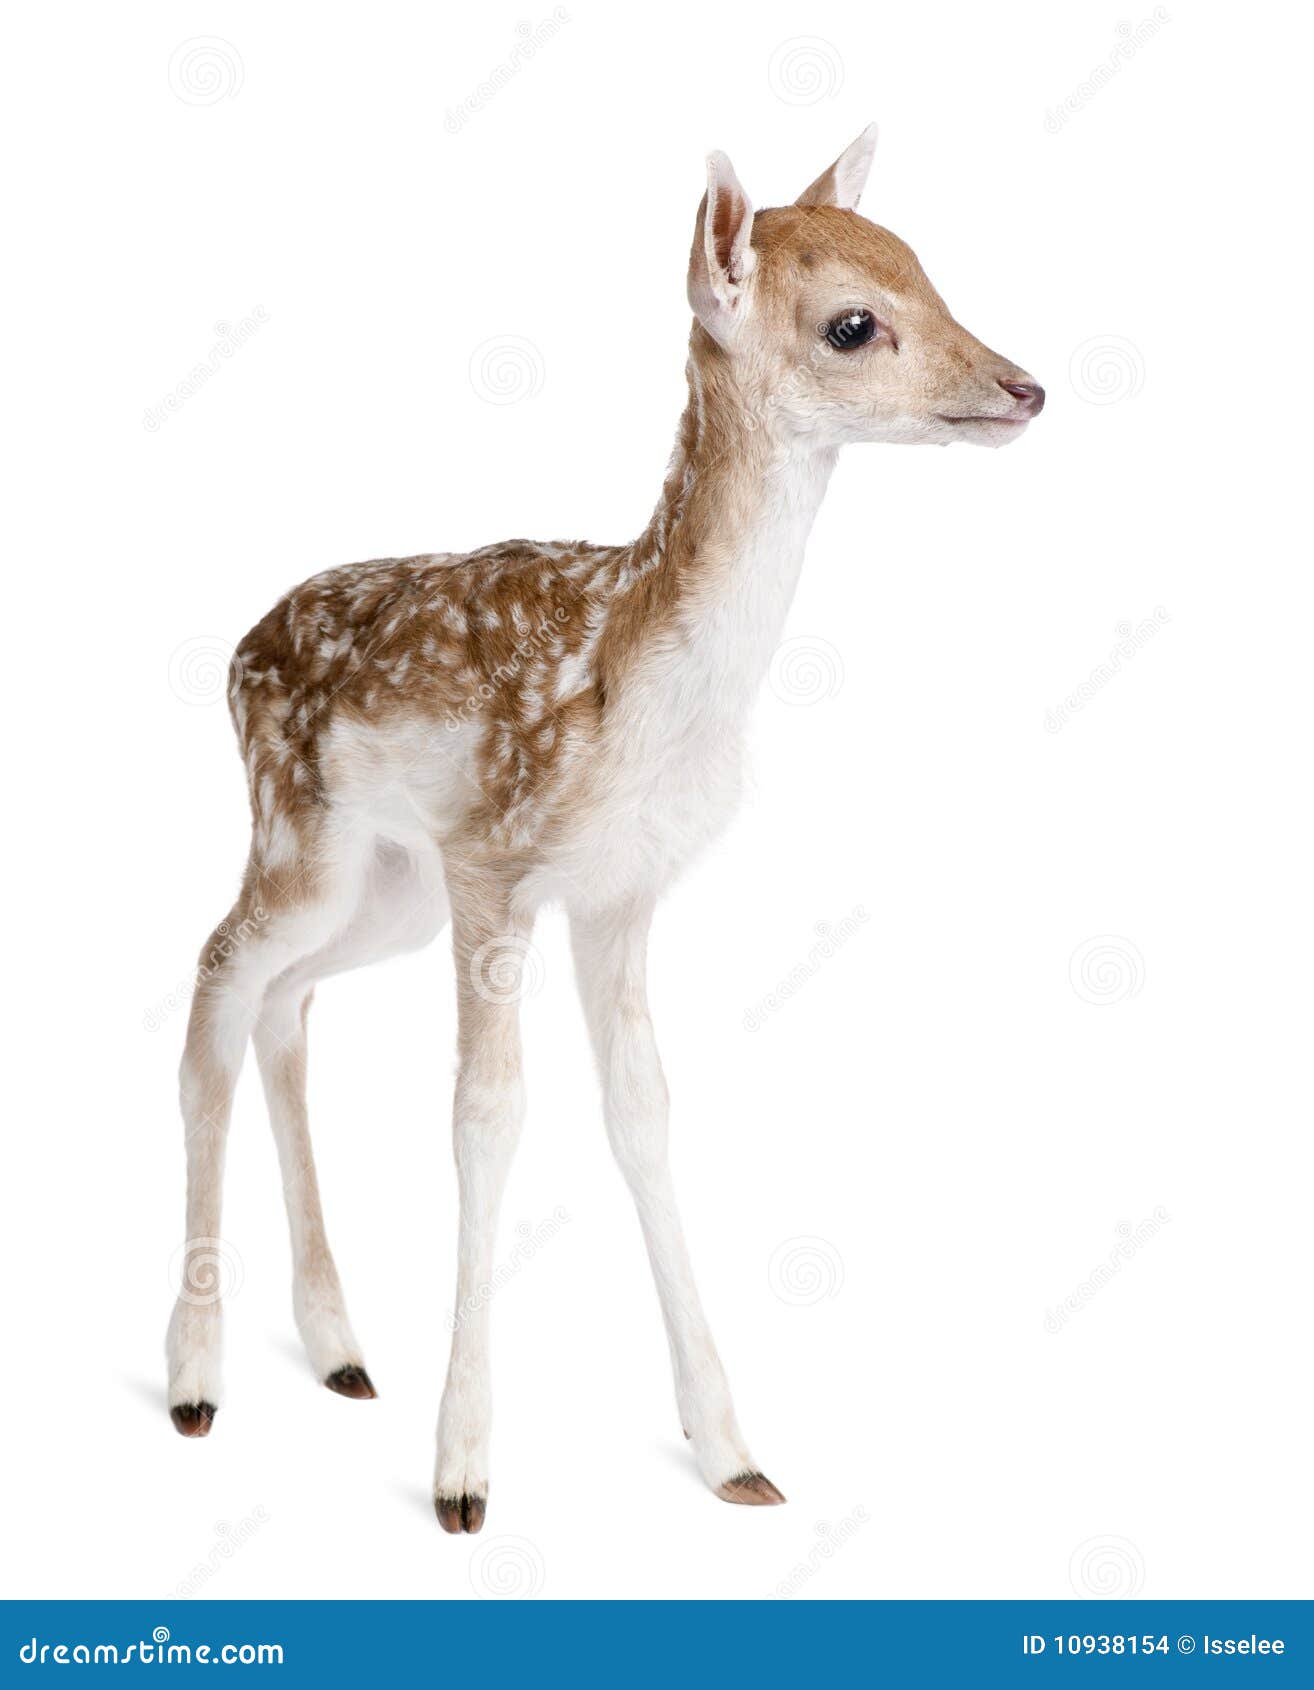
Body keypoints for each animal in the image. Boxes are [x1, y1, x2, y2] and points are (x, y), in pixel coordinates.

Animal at [166, 125, 1044, 1532]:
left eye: (928, 267)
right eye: (854, 322)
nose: (1024, 387)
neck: (643, 684)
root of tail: (236, 649)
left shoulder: (621, 888)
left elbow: (643, 1109)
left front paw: (732, 1449)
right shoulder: (494, 861)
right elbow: (486, 1119)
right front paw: (463, 1474)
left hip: (384, 888)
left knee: (286, 1003)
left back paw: (340, 1347)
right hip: (299, 829)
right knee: (214, 978)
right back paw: (197, 1379)